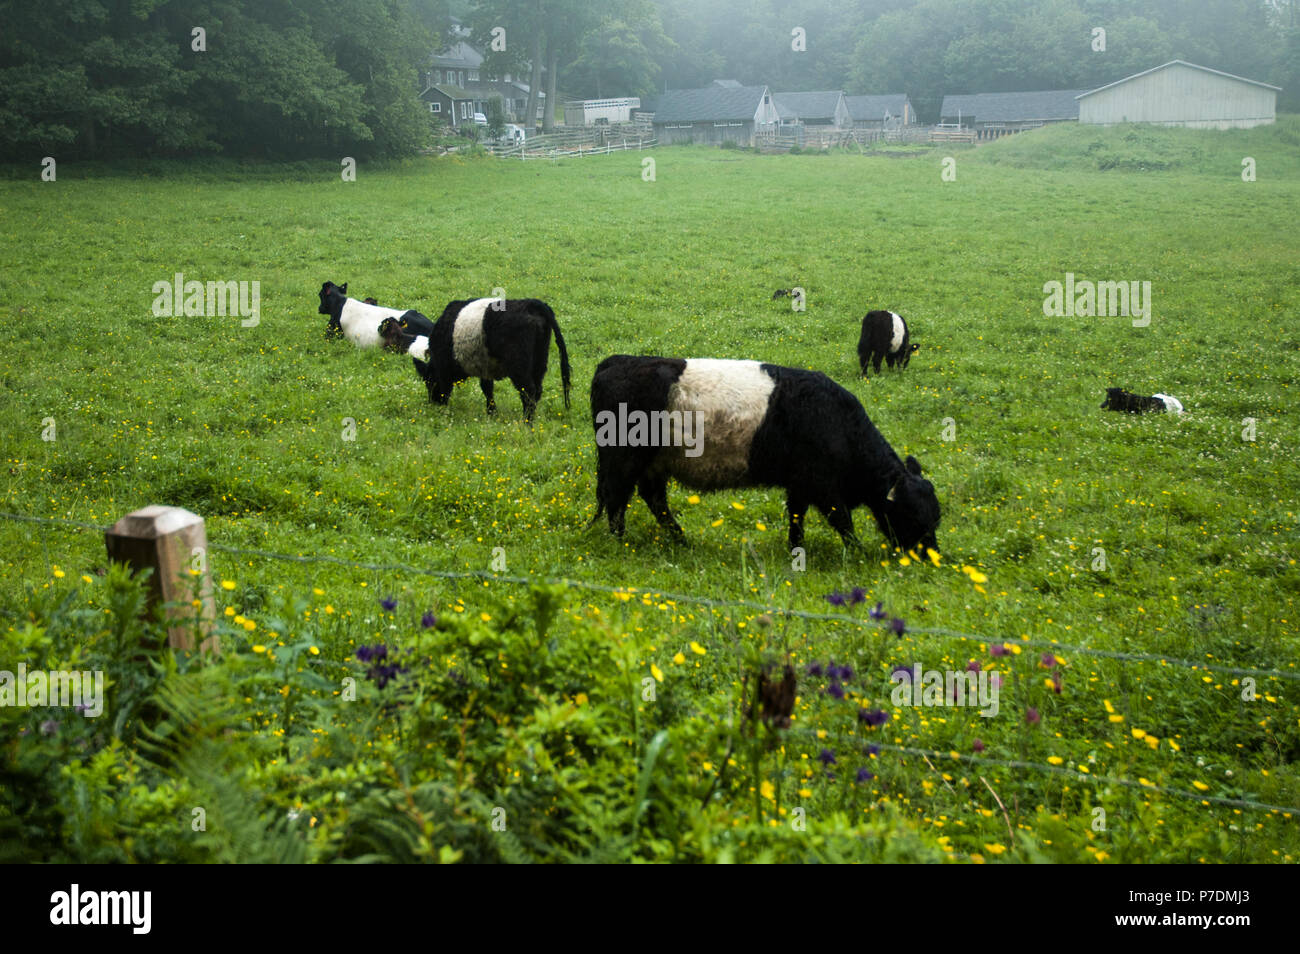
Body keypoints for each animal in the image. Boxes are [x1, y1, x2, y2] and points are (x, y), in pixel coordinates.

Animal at [413, 297, 571, 423]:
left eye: (429, 382)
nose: (433, 403)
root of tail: (532, 303)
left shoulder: (444, 370)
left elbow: (447, 391)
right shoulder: (484, 365)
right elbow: (487, 388)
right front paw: (492, 412)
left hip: (519, 366)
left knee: (528, 391)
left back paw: (526, 422)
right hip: (540, 360)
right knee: (537, 390)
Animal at [588, 356, 941, 553]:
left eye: (936, 518)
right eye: (913, 517)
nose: (929, 556)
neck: (837, 422)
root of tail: (616, 361)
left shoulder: (799, 485)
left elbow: (797, 519)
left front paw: (795, 550)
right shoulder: (822, 486)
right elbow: (842, 520)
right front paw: (858, 553)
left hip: (653, 463)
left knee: (653, 500)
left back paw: (681, 540)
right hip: (623, 460)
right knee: (618, 499)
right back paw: (621, 542)